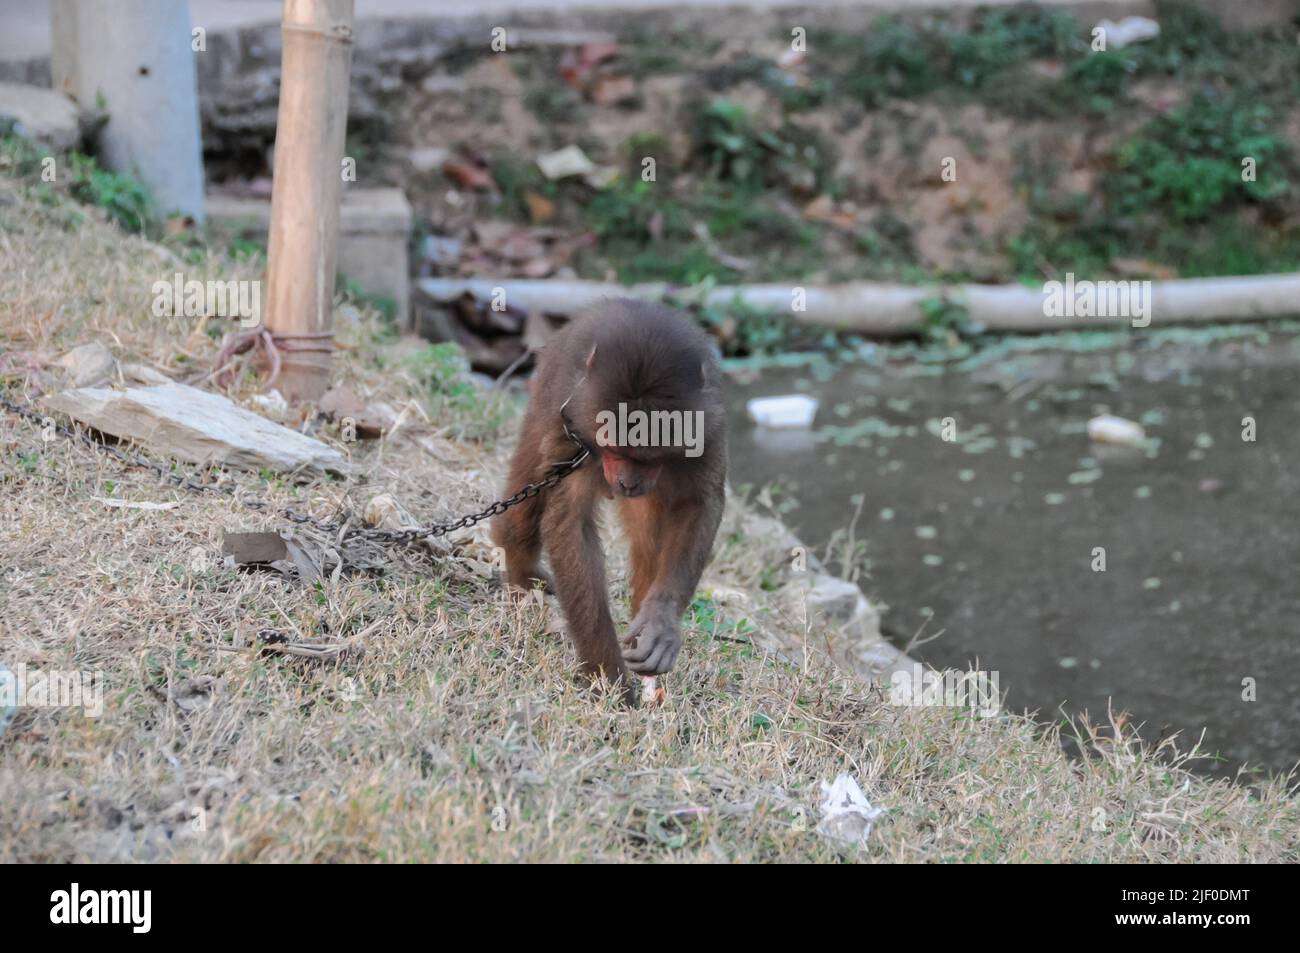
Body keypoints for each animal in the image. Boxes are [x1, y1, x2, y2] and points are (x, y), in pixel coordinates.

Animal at [492, 298, 727, 705]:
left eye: (649, 456)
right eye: (617, 449)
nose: (627, 481)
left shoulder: (705, 426)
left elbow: (699, 504)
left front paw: (659, 623)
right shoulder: (571, 421)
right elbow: (571, 521)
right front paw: (607, 674)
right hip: (544, 396)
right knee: (528, 499)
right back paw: (520, 572)